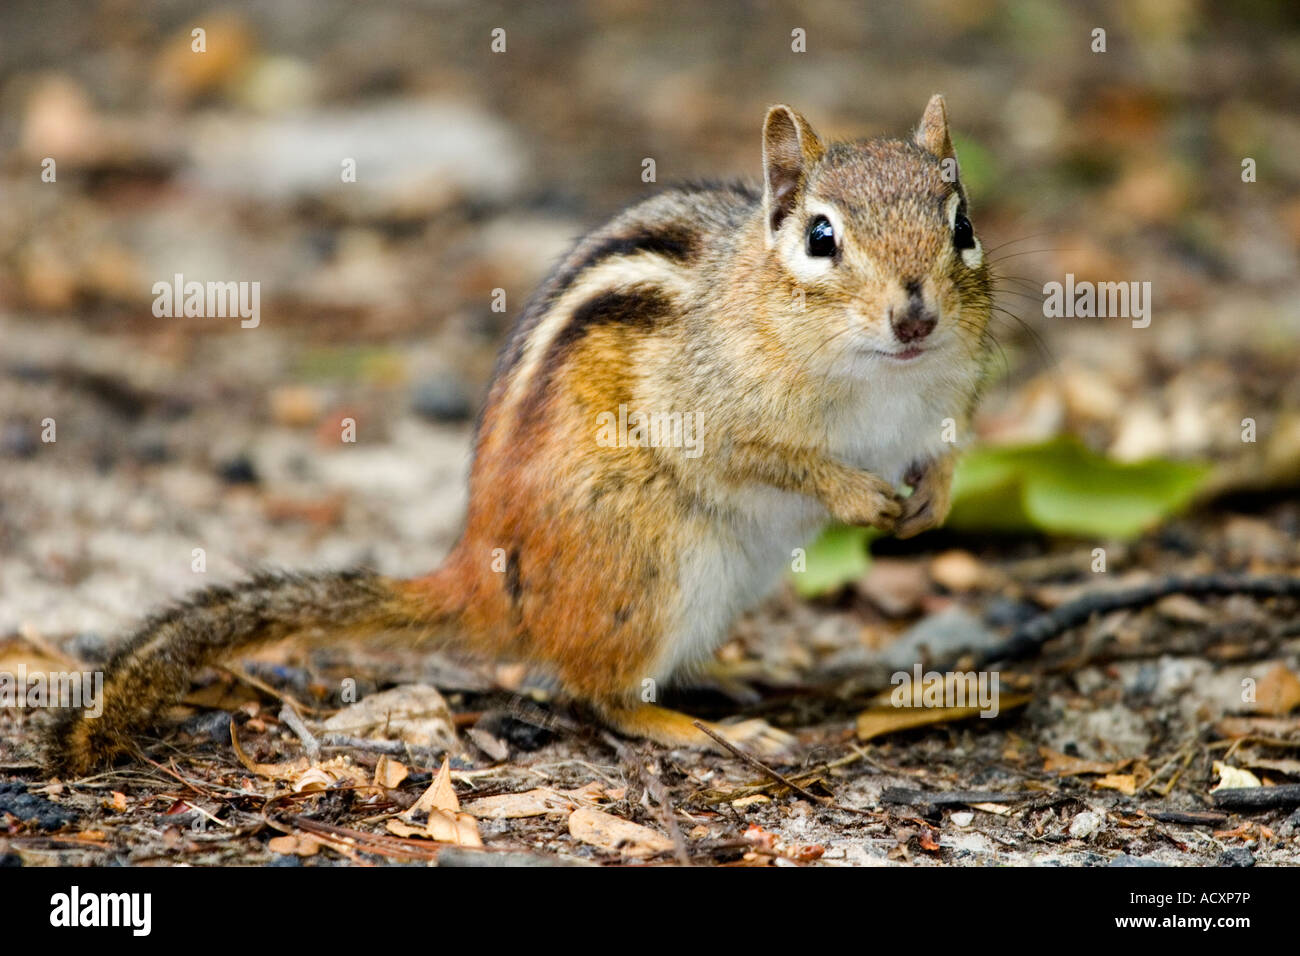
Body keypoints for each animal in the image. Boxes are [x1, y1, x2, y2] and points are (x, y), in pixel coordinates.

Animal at [46, 95, 993, 775]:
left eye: (963, 225)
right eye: (821, 237)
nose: (915, 316)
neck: (882, 375)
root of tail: (482, 571)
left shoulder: (943, 398)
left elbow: (946, 445)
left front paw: (934, 497)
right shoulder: (704, 403)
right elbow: (761, 454)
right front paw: (853, 490)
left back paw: (726, 679)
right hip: (652, 561)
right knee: (600, 696)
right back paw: (700, 728)